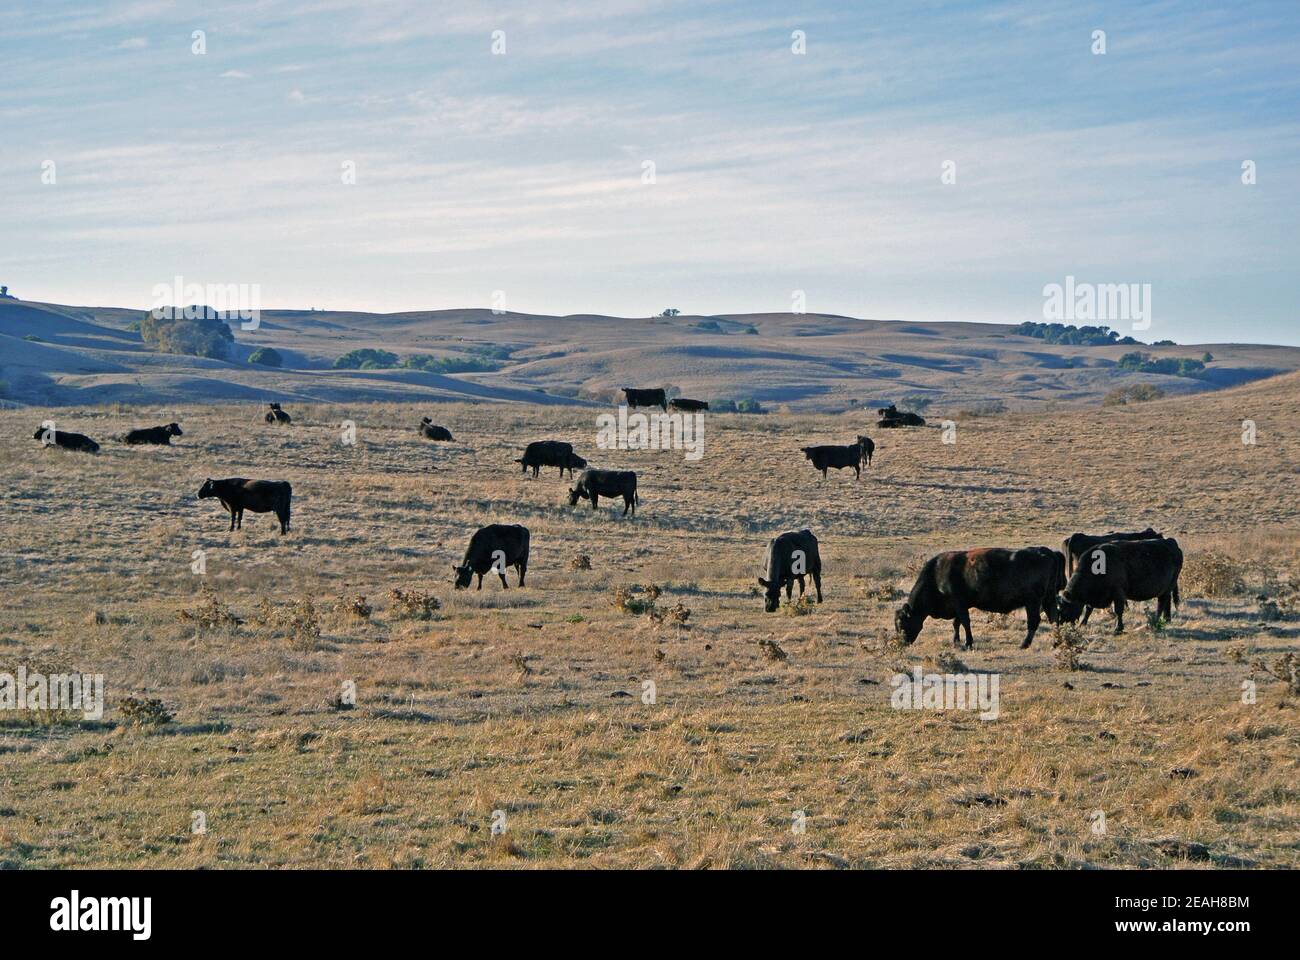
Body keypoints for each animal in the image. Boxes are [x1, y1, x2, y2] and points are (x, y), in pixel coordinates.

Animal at [895, 546, 1066, 649]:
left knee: (1034, 621)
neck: (937, 574)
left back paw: (1024, 644)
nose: (901, 643)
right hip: (1048, 598)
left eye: (901, 622)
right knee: (1054, 617)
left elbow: (964, 622)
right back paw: (1056, 642)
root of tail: (1046, 551)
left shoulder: (960, 604)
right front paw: (956, 641)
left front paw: (968, 643)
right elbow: (957, 623)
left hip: (1033, 601)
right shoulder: (960, 606)